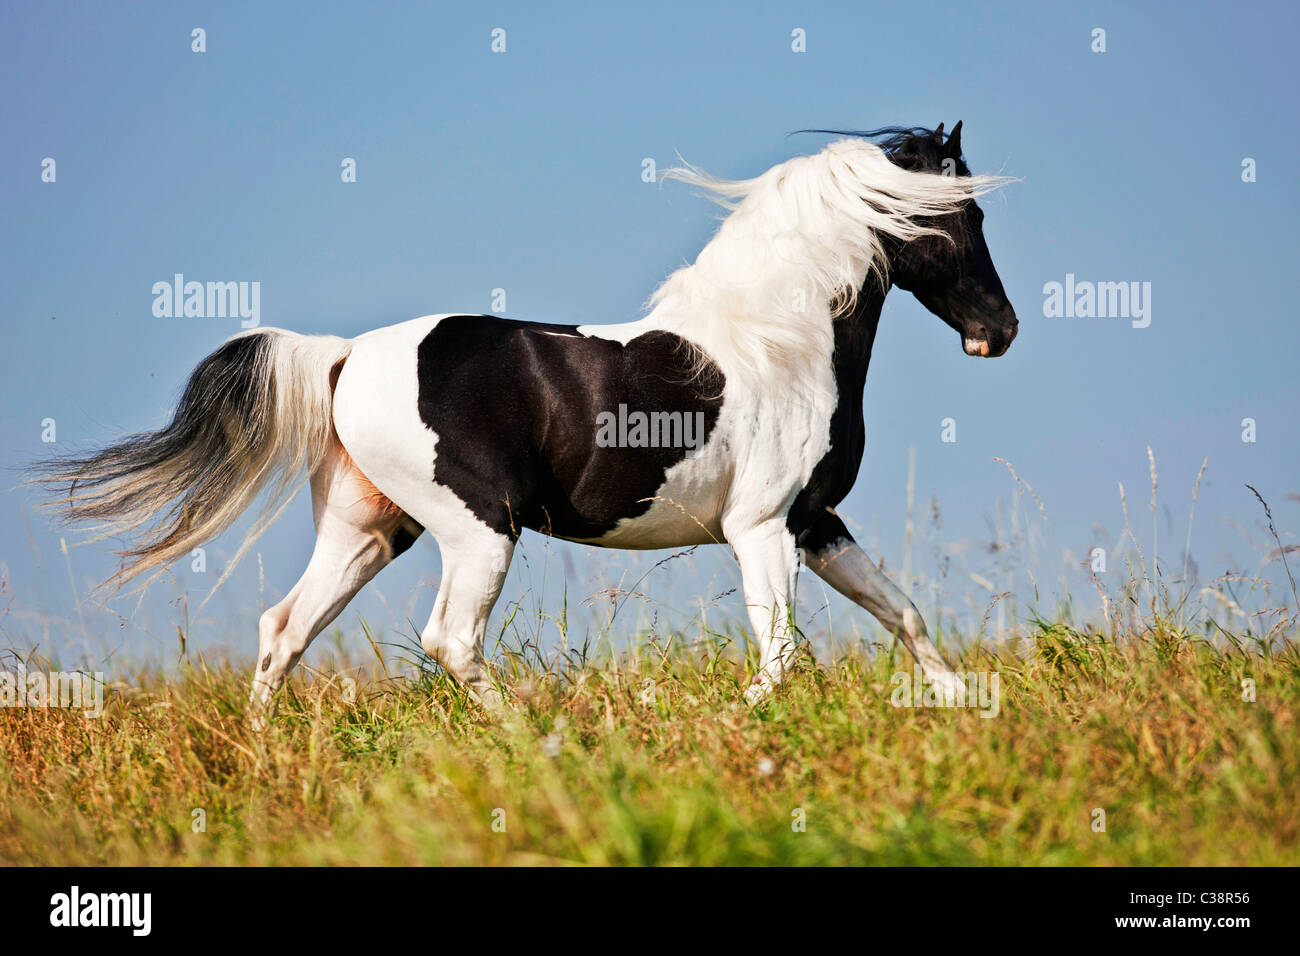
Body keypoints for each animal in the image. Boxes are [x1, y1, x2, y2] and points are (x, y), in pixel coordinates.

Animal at [36, 122, 1018, 718]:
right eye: (961, 213)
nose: (999, 331)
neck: (780, 339)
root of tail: (345, 355)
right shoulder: (762, 526)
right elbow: (781, 658)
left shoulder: (816, 521)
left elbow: (903, 615)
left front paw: (961, 704)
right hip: (478, 529)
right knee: (449, 639)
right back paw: (529, 732)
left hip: (368, 529)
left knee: (286, 630)